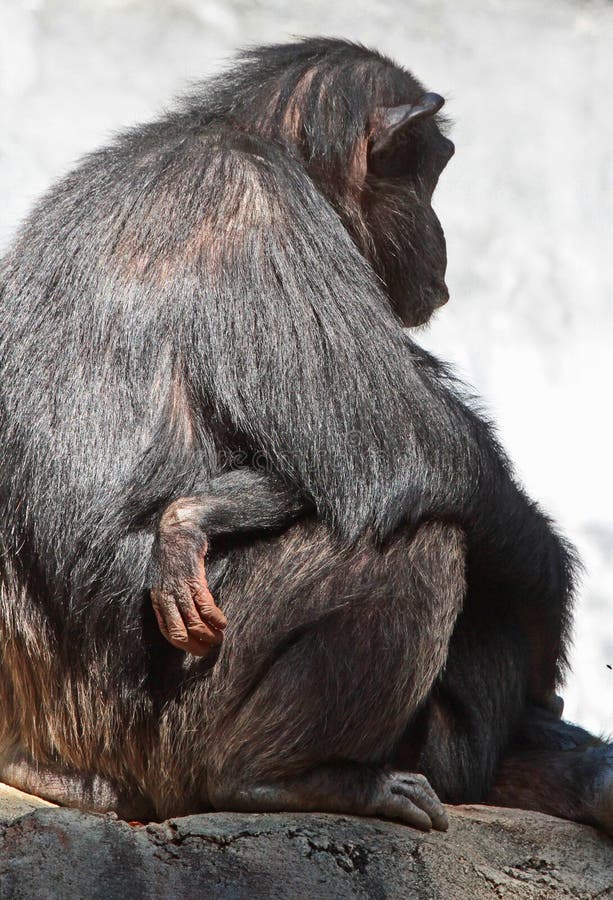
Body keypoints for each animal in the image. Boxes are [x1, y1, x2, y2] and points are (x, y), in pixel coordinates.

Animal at [0, 38, 611, 833]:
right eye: (435, 168)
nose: (440, 228)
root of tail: (64, 767)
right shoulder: (264, 211)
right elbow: (399, 451)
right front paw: (548, 614)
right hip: (167, 728)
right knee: (419, 540)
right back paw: (290, 779)